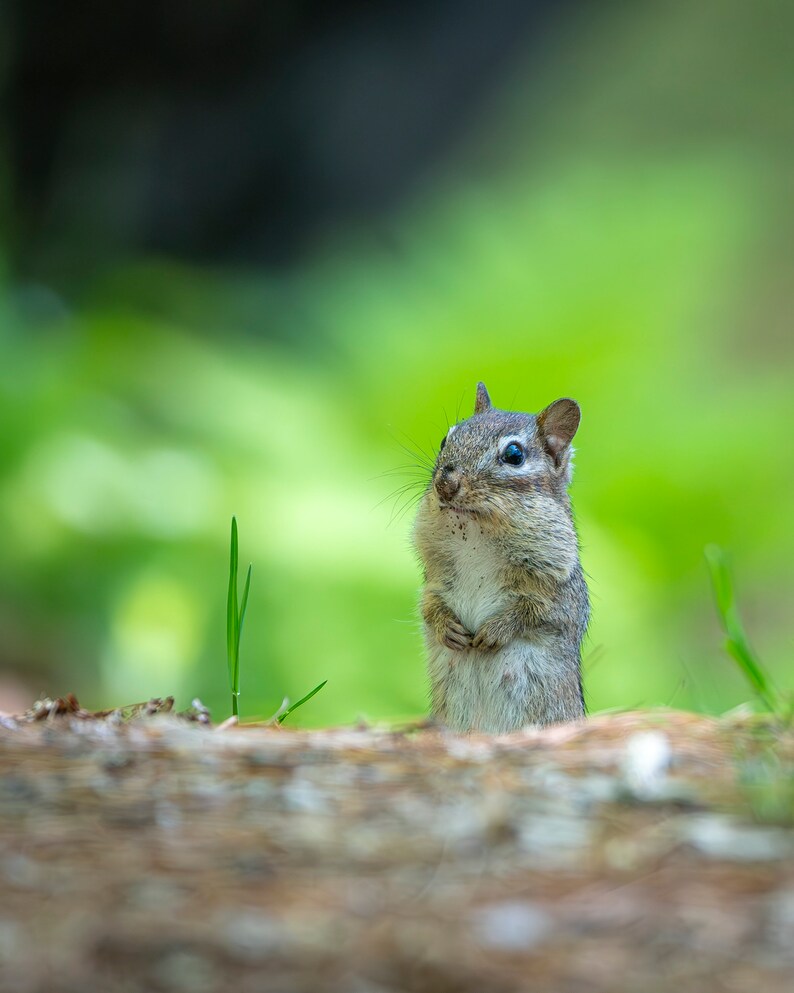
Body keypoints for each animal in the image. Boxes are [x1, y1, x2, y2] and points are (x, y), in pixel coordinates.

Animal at [413, 382, 589, 733]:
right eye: (445, 440)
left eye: (514, 455)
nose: (445, 484)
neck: (475, 537)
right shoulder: (434, 580)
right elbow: (428, 605)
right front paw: (446, 627)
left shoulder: (560, 596)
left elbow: (536, 613)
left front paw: (495, 631)